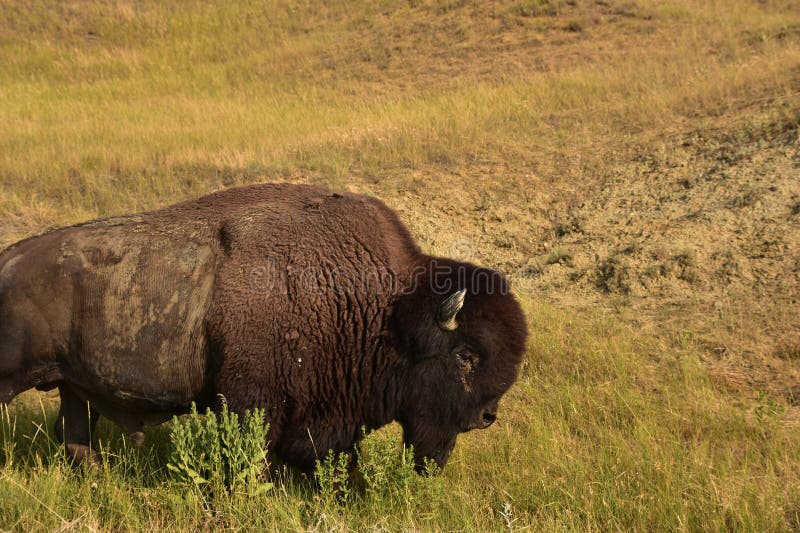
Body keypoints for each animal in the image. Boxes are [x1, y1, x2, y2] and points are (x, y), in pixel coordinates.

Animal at [0, 183, 527, 471]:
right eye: (466, 355)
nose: (487, 416)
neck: (385, 308)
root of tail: (9, 257)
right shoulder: (251, 401)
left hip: (72, 385)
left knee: (75, 439)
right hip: (10, 378)